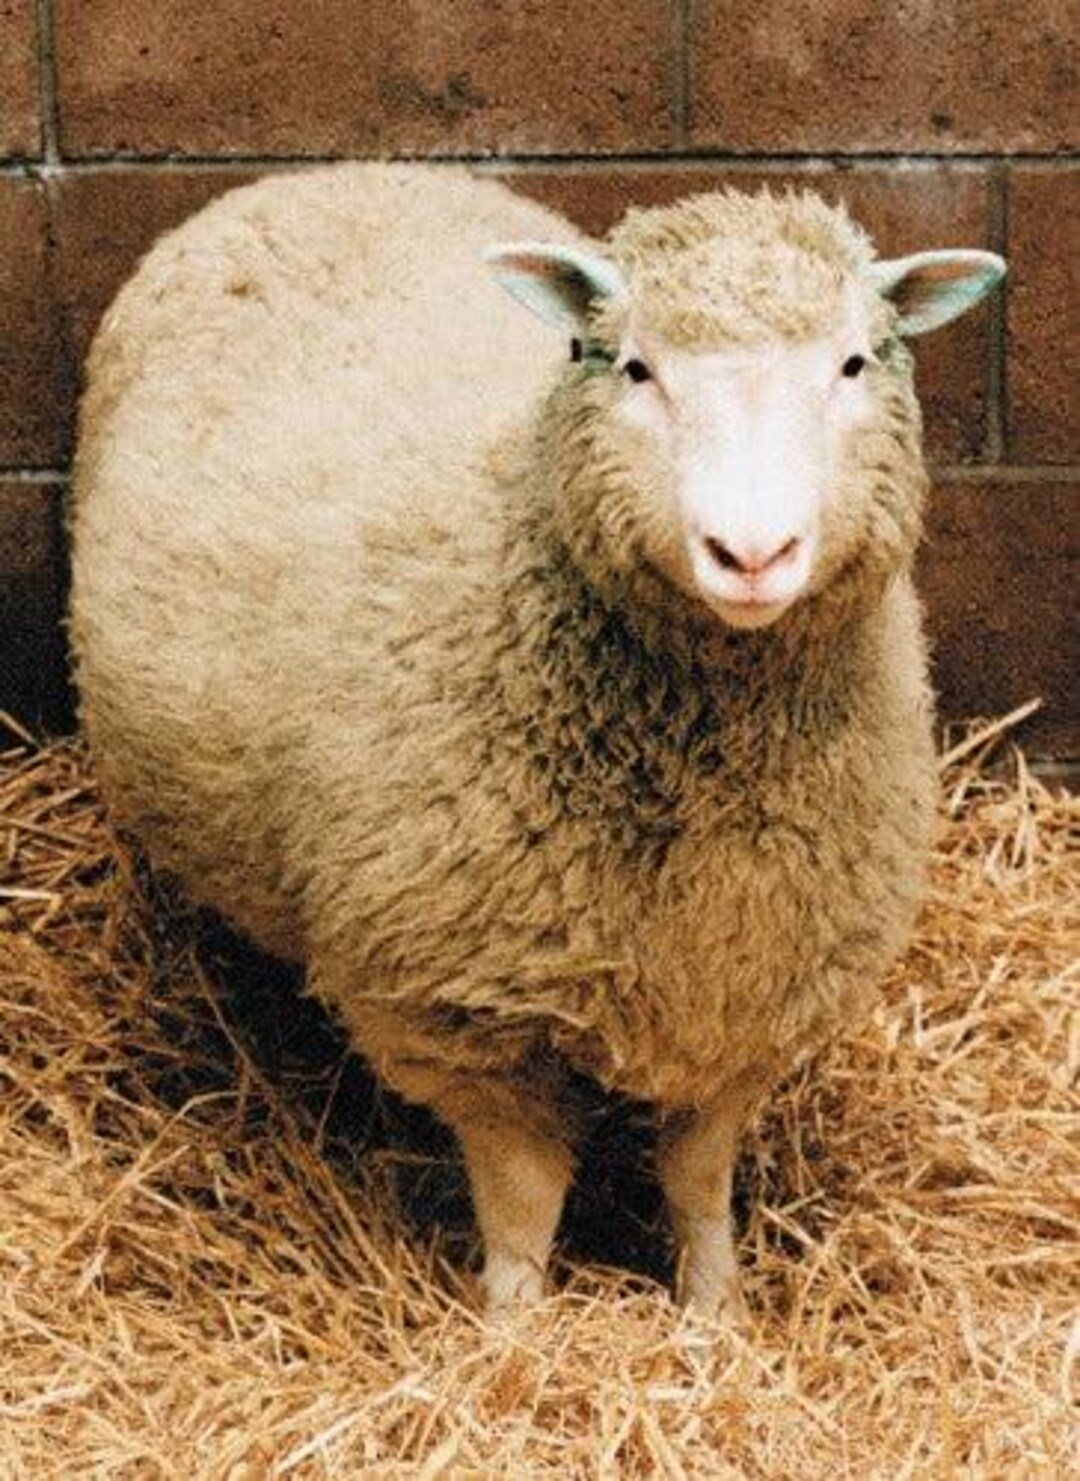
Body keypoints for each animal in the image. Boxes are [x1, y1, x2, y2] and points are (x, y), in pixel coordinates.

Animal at [69, 163, 1005, 1319]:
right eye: (634, 366)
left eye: (853, 362)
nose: (751, 553)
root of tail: (323, 172)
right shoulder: (469, 1015)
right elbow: (525, 1201)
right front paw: (514, 1332)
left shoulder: (748, 990)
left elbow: (698, 1176)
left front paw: (716, 1314)